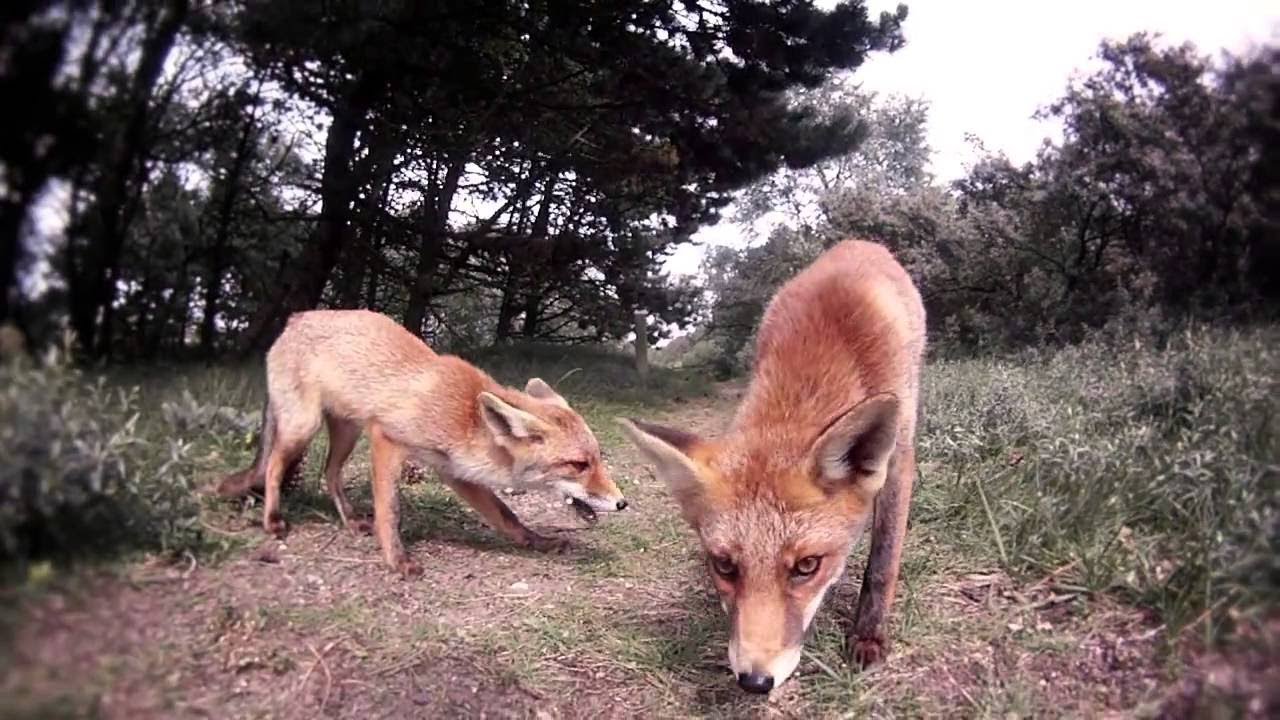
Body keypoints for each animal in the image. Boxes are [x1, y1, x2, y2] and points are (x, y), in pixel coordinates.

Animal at [216, 309, 628, 577]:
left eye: (597, 459)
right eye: (579, 465)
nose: (622, 503)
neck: (466, 416)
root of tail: (295, 318)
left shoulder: (456, 472)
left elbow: (506, 516)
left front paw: (538, 541)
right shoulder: (386, 439)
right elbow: (390, 511)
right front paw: (396, 560)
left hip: (346, 432)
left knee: (330, 473)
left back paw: (350, 521)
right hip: (304, 426)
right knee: (273, 466)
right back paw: (273, 520)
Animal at [619, 239, 925, 694]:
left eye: (807, 566)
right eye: (724, 565)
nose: (755, 680)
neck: (820, 356)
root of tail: (856, 243)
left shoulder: (899, 459)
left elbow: (883, 564)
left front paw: (868, 635)